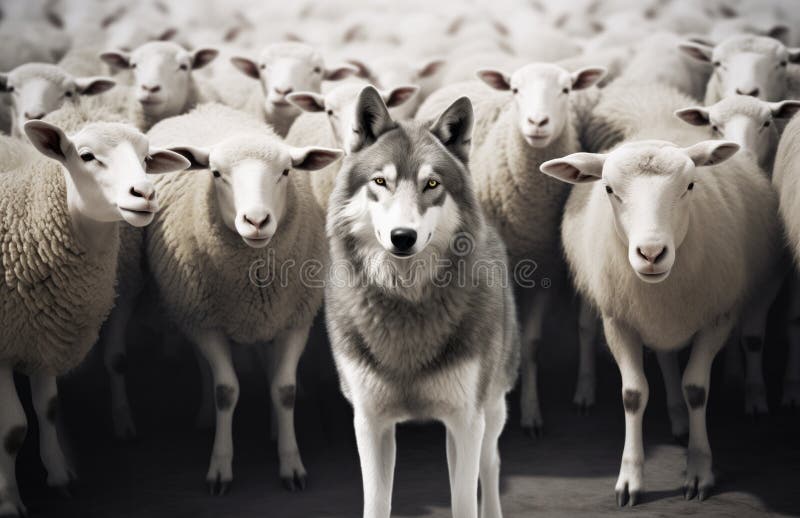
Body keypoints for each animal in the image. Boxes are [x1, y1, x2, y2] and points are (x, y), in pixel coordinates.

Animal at [0, 103, 188, 517]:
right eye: (86, 156)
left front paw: (59, 475)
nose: (145, 193)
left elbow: (48, 407)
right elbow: (12, 430)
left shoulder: (45, 331)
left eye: (147, 160)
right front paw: (9, 500)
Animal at [143, 103, 342, 494]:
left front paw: (291, 463)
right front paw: (220, 468)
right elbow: (226, 390)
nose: (256, 220)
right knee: (206, 368)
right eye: (216, 174)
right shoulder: (205, 322)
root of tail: (206, 107)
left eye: (285, 172)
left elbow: (285, 389)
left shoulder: (294, 319)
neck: (254, 277)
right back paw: (207, 415)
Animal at [325, 86, 521, 518]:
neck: (405, 302)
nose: (403, 237)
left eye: (431, 184)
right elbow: (376, 504)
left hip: (490, 410)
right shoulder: (370, 423)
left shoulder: (467, 420)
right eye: (380, 181)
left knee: (492, 465)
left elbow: (464, 502)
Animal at [418, 62, 606, 435]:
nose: (537, 123)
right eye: (515, 90)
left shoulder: (546, 269)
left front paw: (531, 411)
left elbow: (531, 344)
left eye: (566, 90)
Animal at [540, 82, 781, 505]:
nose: (651, 253)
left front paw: (699, 471)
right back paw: (589, 393)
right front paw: (630, 479)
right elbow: (633, 394)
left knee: (676, 356)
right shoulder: (618, 321)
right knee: (590, 330)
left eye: (690, 186)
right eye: (608, 189)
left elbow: (696, 389)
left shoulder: (716, 318)